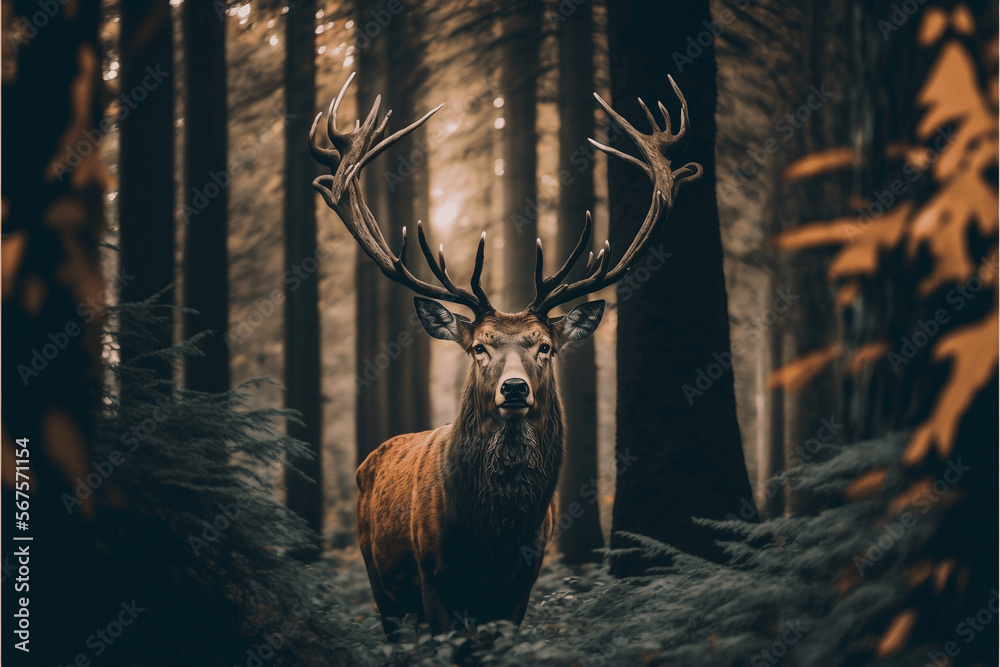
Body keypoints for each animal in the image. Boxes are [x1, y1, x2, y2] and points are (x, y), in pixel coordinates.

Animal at [309, 72, 703, 637]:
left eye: (545, 347)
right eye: (479, 347)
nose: (513, 388)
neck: (493, 539)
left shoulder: (524, 580)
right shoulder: (432, 575)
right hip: (378, 578)